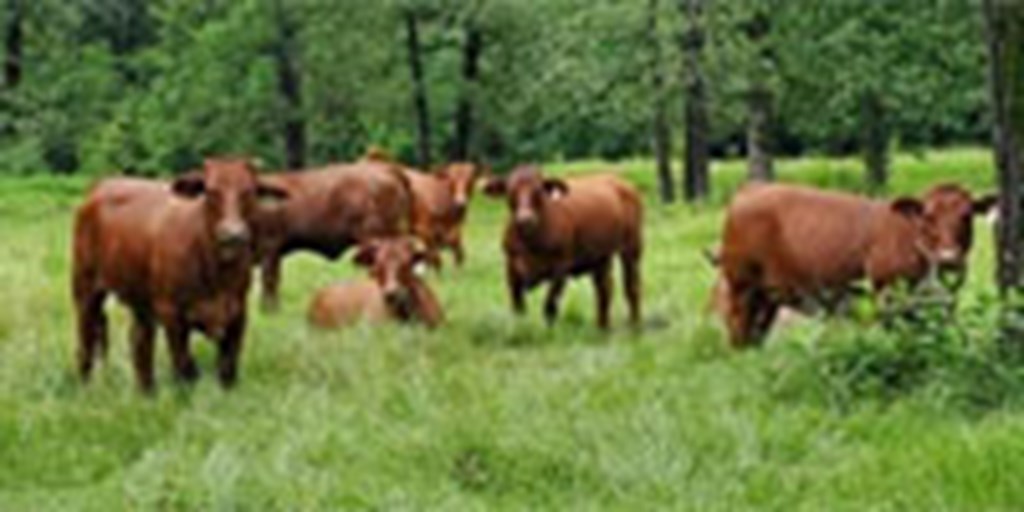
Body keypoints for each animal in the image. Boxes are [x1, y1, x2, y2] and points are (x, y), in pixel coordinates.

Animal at [72, 158, 288, 392]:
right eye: (210, 191)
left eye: (250, 191)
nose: (233, 234)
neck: (216, 274)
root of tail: (103, 185)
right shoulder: (170, 313)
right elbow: (185, 365)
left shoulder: (238, 314)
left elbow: (228, 367)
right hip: (84, 287)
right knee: (86, 341)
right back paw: (84, 387)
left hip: (141, 302)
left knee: (140, 342)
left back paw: (147, 391)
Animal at [484, 165, 643, 329]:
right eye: (510, 191)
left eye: (538, 190)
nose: (525, 219)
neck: (531, 243)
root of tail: (619, 181)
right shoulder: (511, 269)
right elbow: (518, 308)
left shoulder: (561, 268)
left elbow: (549, 305)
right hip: (601, 257)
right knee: (604, 289)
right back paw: (602, 327)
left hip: (632, 248)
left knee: (632, 287)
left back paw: (635, 325)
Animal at [716, 182, 998, 347]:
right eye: (928, 216)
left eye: (966, 215)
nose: (948, 258)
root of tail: (752, 188)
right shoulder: (888, 296)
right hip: (742, 287)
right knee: (738, 329)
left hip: (769, 295)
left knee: (757, 333)